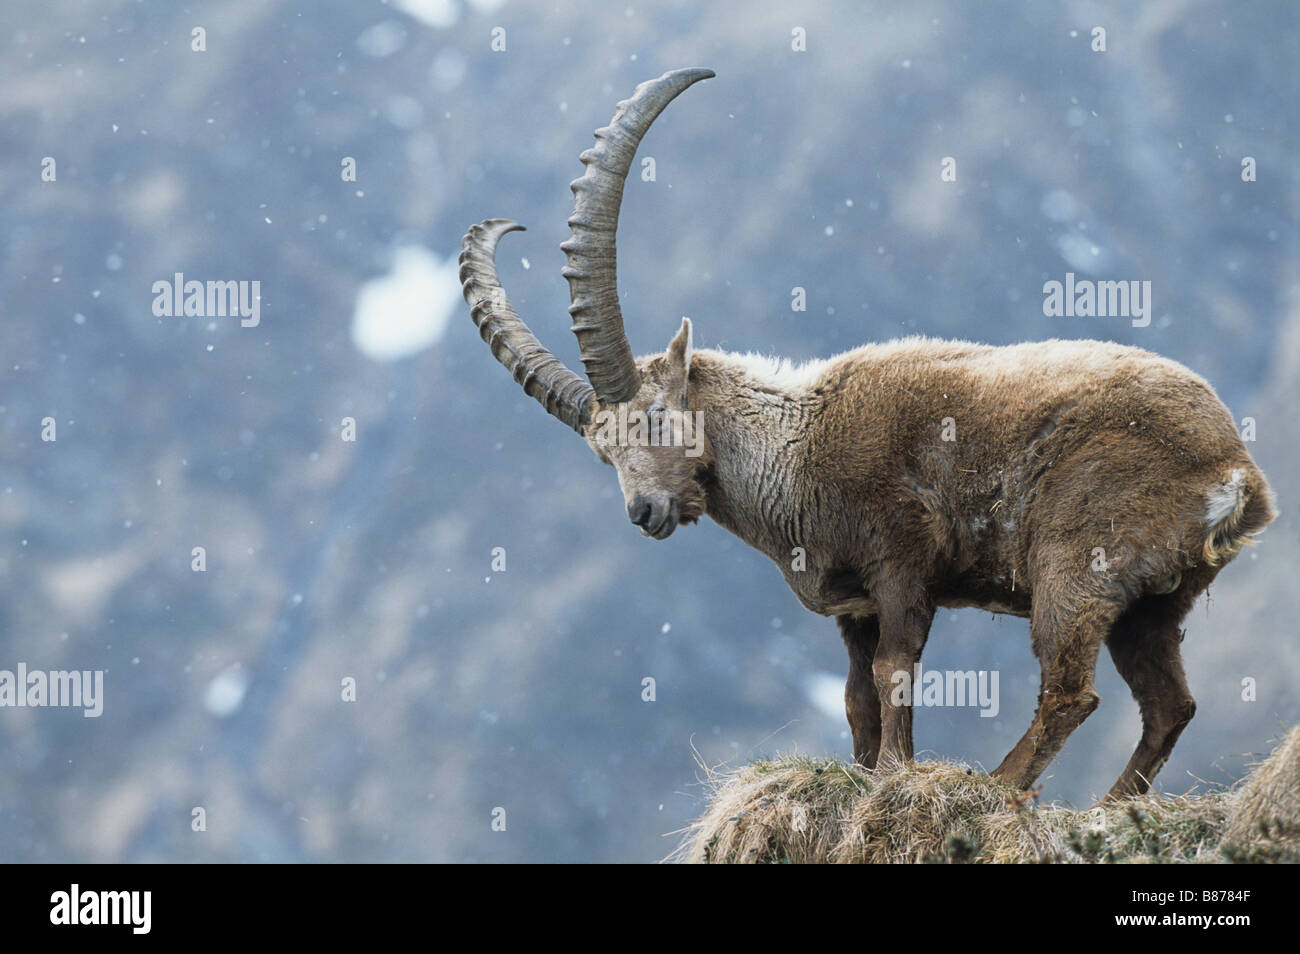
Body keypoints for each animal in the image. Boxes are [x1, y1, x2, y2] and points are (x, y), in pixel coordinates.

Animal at [459, 68, 1276, 799]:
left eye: (658, 418)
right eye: (601, 452)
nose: (644, 513)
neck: (795, 447)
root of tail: (1233, 471)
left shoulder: (903, 561)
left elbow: (896, 671)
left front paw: (894, 777)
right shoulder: (853, 605)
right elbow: (858, 694)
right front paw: (864, 772)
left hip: (1078, 562)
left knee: (1072, 689)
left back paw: (999, 787)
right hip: (1153, 603)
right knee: (1169, 702)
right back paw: (1112, 805)